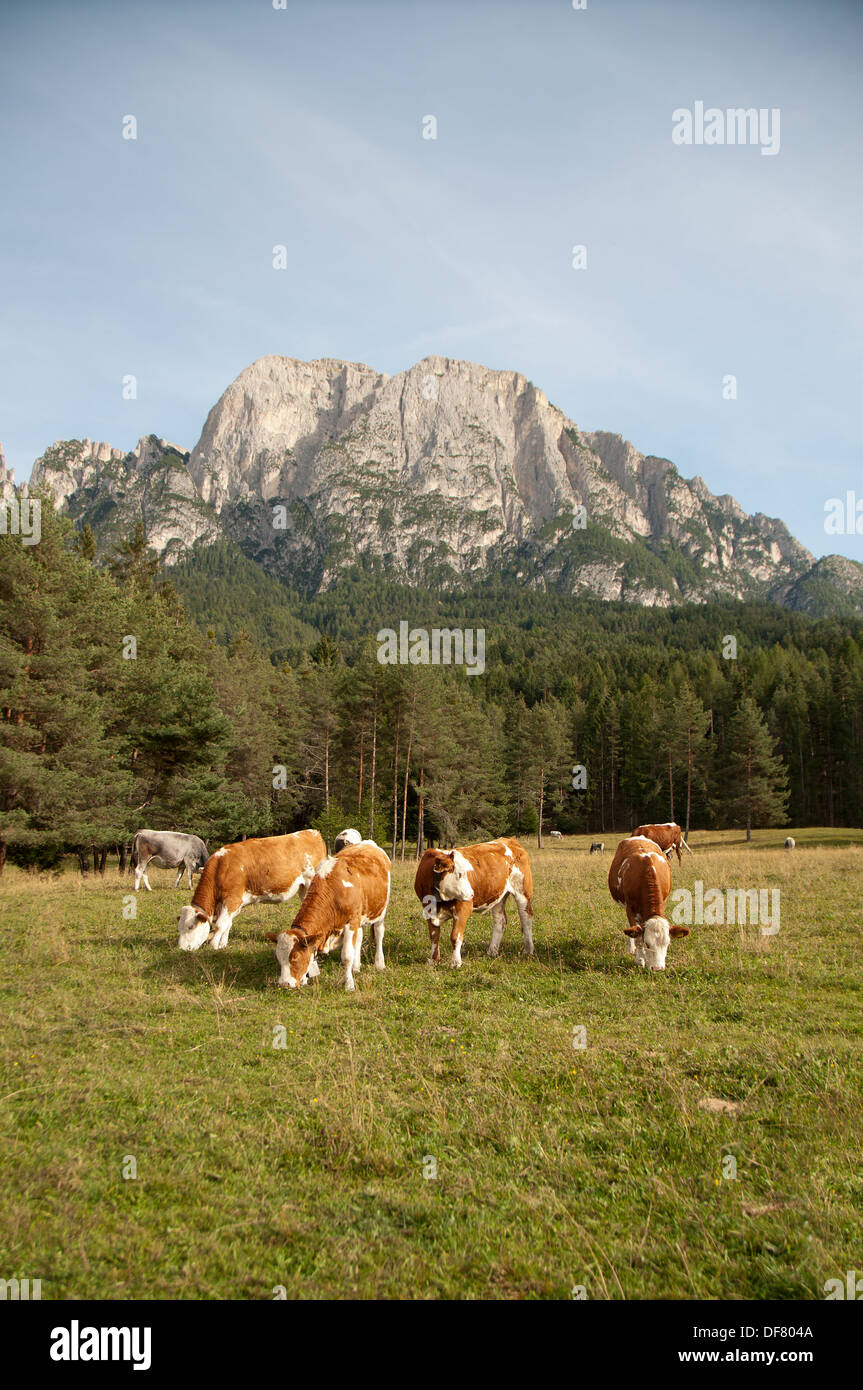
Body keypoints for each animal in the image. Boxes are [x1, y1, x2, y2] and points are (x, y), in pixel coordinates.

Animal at [177, 829, 326, 952]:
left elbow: (220, 925)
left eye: (191, 926)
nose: (182, 949)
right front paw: (222, 945)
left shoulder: (232, 899)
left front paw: (214, 947)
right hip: (303, 889)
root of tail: (313, 832)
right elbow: (228, 924)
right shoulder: (235, 904)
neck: (221, 867)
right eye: (179, 928)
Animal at [269, 839, 391, 992]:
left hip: (381, 910)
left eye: (295, 957)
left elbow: (347, 956)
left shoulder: (351, 922)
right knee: (359, 938)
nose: (284, 984)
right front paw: (304, 979)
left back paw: (379, 963)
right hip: (360, 916)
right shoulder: (353, 920)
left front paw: (349, 985)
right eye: (279, 958)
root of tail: (367, 842)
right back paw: (356, 967)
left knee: (379, 933)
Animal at [414, 838, 534, 968]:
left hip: (523, 892)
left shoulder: (463, 908)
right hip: (498, 896)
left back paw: (528, 950)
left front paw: (455, 963)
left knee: (526, 918)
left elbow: (455, 936)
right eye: (459, 874)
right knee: (500, 921)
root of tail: (511, 840)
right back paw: (492, 951)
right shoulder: (428, 911)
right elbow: (434, 936)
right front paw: (433, 960)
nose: (472, 894)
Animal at [608, 835, 689, 971]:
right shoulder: (630, 909)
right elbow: (637, 936)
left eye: (667, 943)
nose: (658, 968)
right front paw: (640, 960)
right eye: (648, 944)